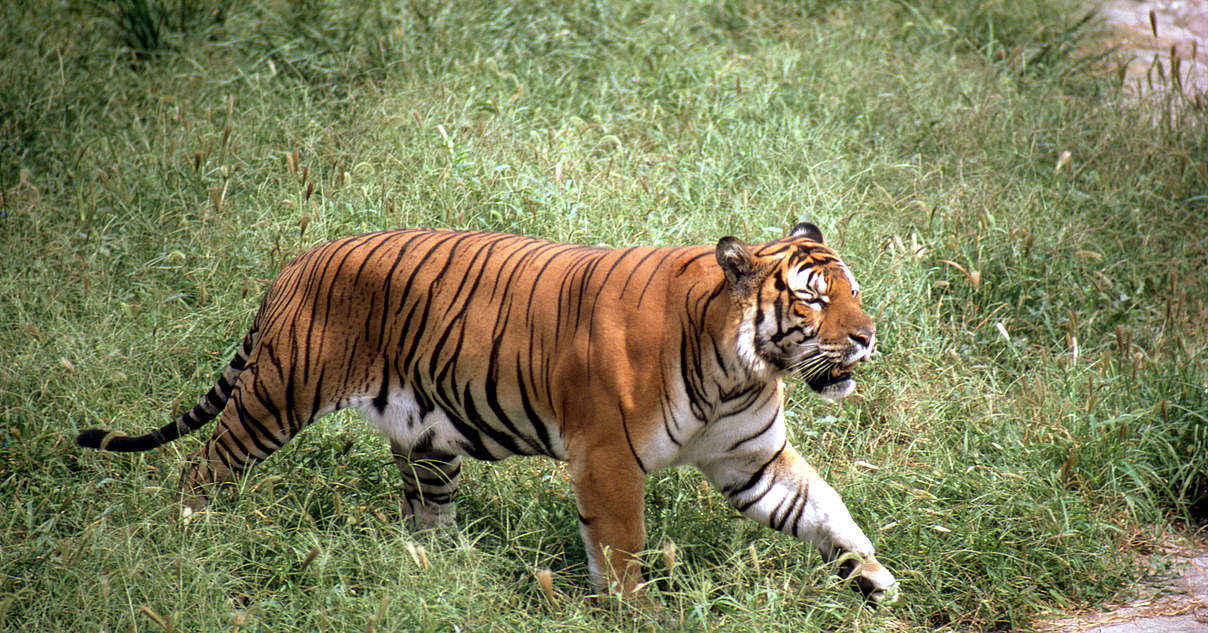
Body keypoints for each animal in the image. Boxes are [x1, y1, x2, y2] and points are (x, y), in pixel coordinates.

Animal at [75, 223, 899, 605]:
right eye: (813, 300)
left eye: (853, 292)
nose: (867, 336)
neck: (737, 370)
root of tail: (297, 262)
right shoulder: (607, 457)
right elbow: (623, 545)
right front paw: (635, 610)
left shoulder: (751, 459)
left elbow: (825, 508)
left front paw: (874, 576)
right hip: (277, 395)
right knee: (204, 464)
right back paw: (189, 535)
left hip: (428, 438)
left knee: (423, 518)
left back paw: (440, 577)